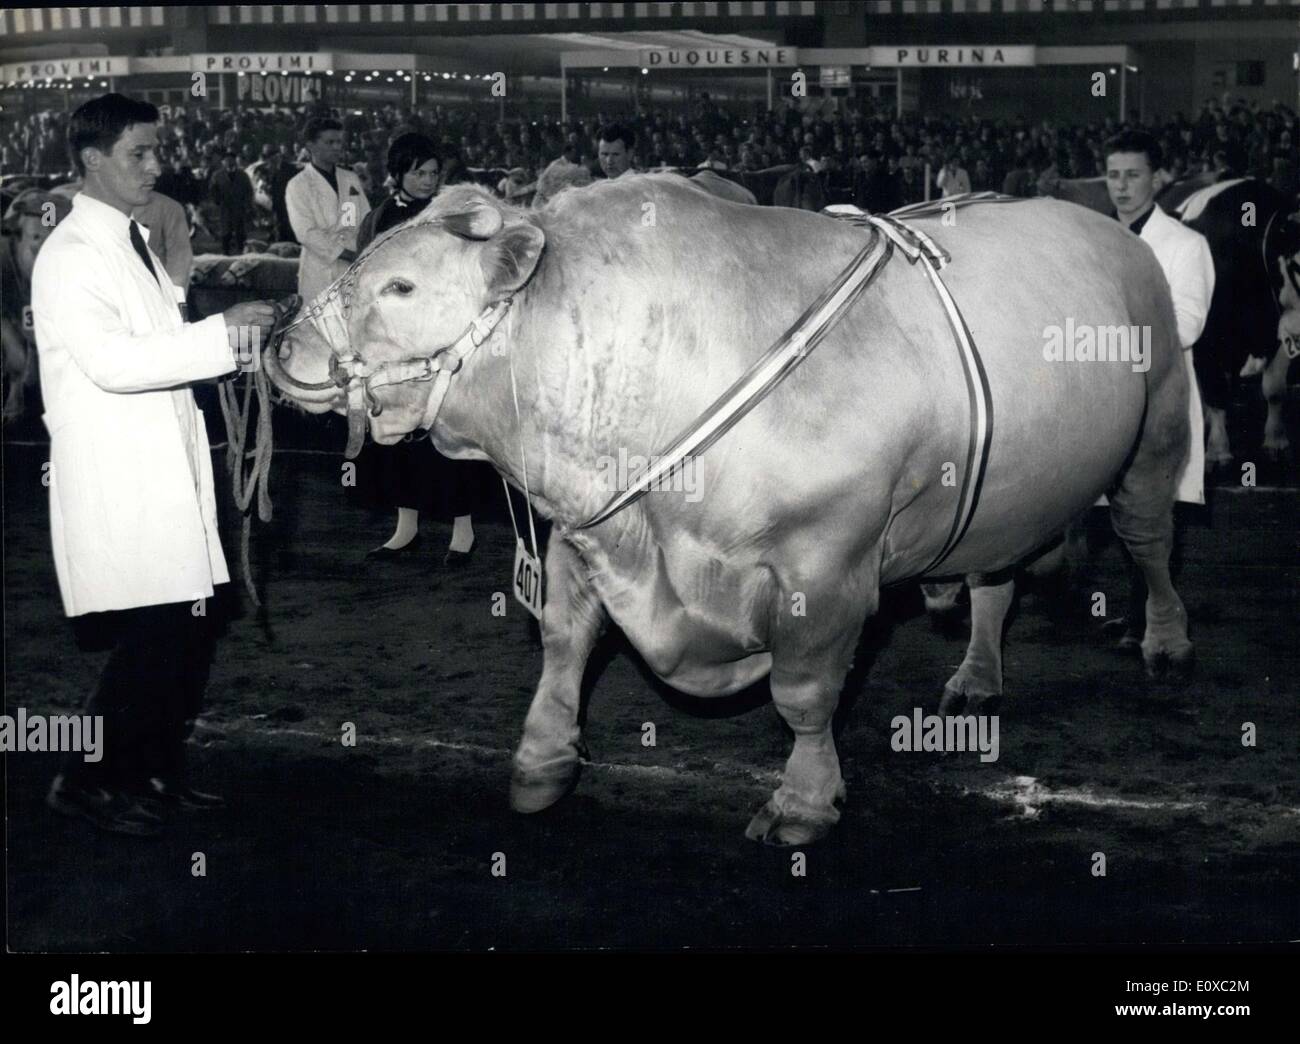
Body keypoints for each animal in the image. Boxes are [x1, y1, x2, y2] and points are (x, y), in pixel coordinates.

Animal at [265, 177, 1191, 845]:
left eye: (401, 284)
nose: (280, 343)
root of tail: (1111, 227)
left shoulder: (828, 564)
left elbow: (803, 694)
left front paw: (804, 803)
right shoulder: (588, 526)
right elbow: (564, 644)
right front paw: (542, 762)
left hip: (1158, 424)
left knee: (1149, 538)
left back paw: (1164, 640)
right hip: (1005, 490)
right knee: (995, 576)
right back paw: (977, 674)